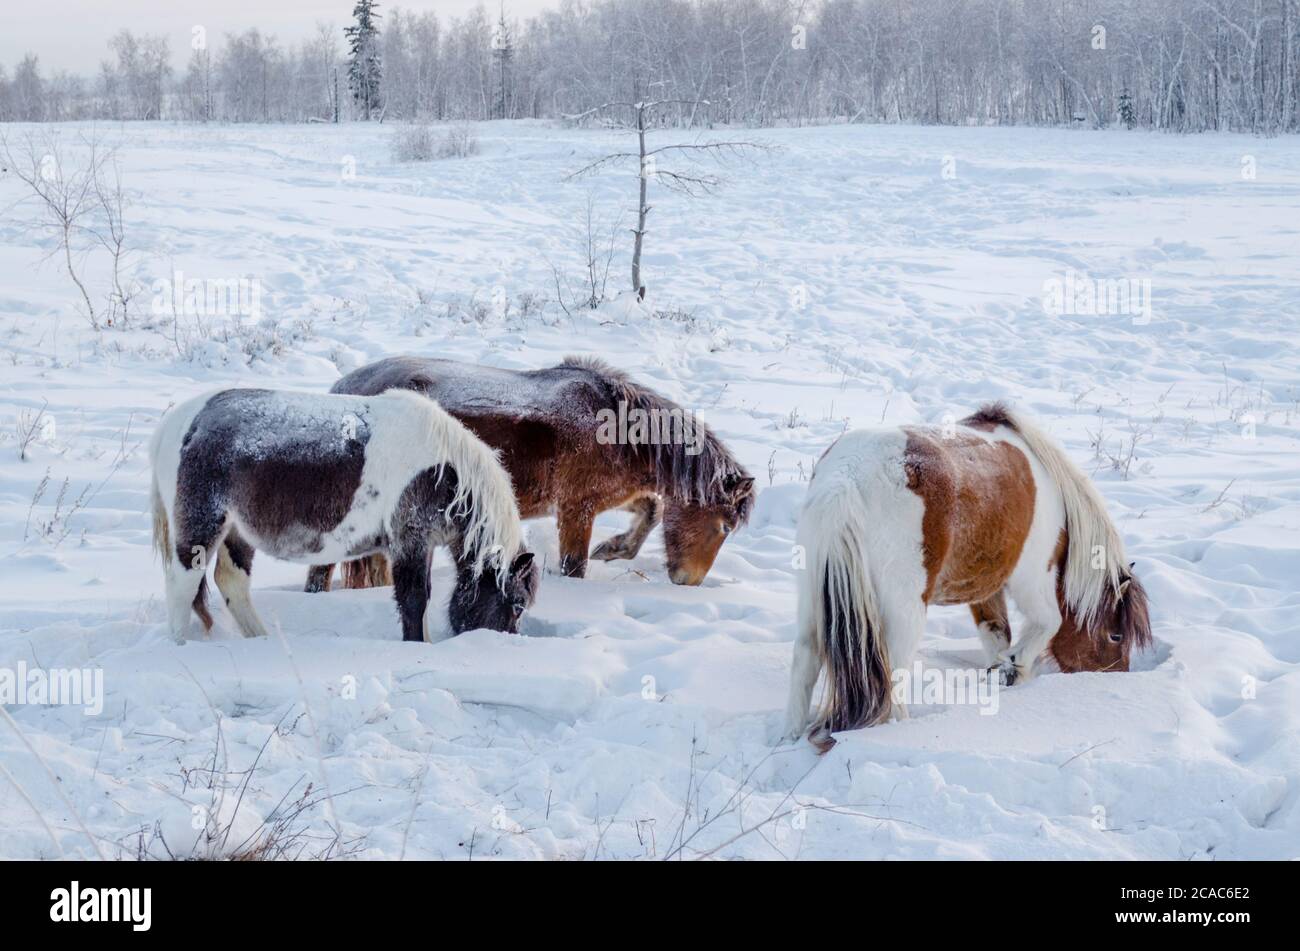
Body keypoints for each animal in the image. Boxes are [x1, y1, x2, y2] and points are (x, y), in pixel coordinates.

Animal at [149, 388, 539, 644]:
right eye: (517, 605)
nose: (495, 645)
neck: (443, 472)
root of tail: (183, 421)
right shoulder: (409, 542)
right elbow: (414, 600)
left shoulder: (422, 545)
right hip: (200, 530)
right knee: (182, 587)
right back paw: (180, 646)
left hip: (237, 532)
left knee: (232, 582)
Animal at [304, 355, 756, 593]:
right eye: (723, 527)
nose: (688, 580)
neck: (616, 428)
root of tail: (341, 391)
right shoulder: (577, 509)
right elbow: (574, 565)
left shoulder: (615, 496)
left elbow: (651, 511)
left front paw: (613, 549)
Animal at [783, 402, 1151, 748]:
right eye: (1115, 635)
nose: (1116, 677)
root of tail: (847, 479)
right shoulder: (1031, 578)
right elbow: (1048, 623)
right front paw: (1014, 667)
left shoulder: (987, 589)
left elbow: (996, 635)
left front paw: (1002, 675)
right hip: (903, 613)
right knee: (892, 676)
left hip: (813, 601)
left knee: (805, 660)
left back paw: (790, 736)